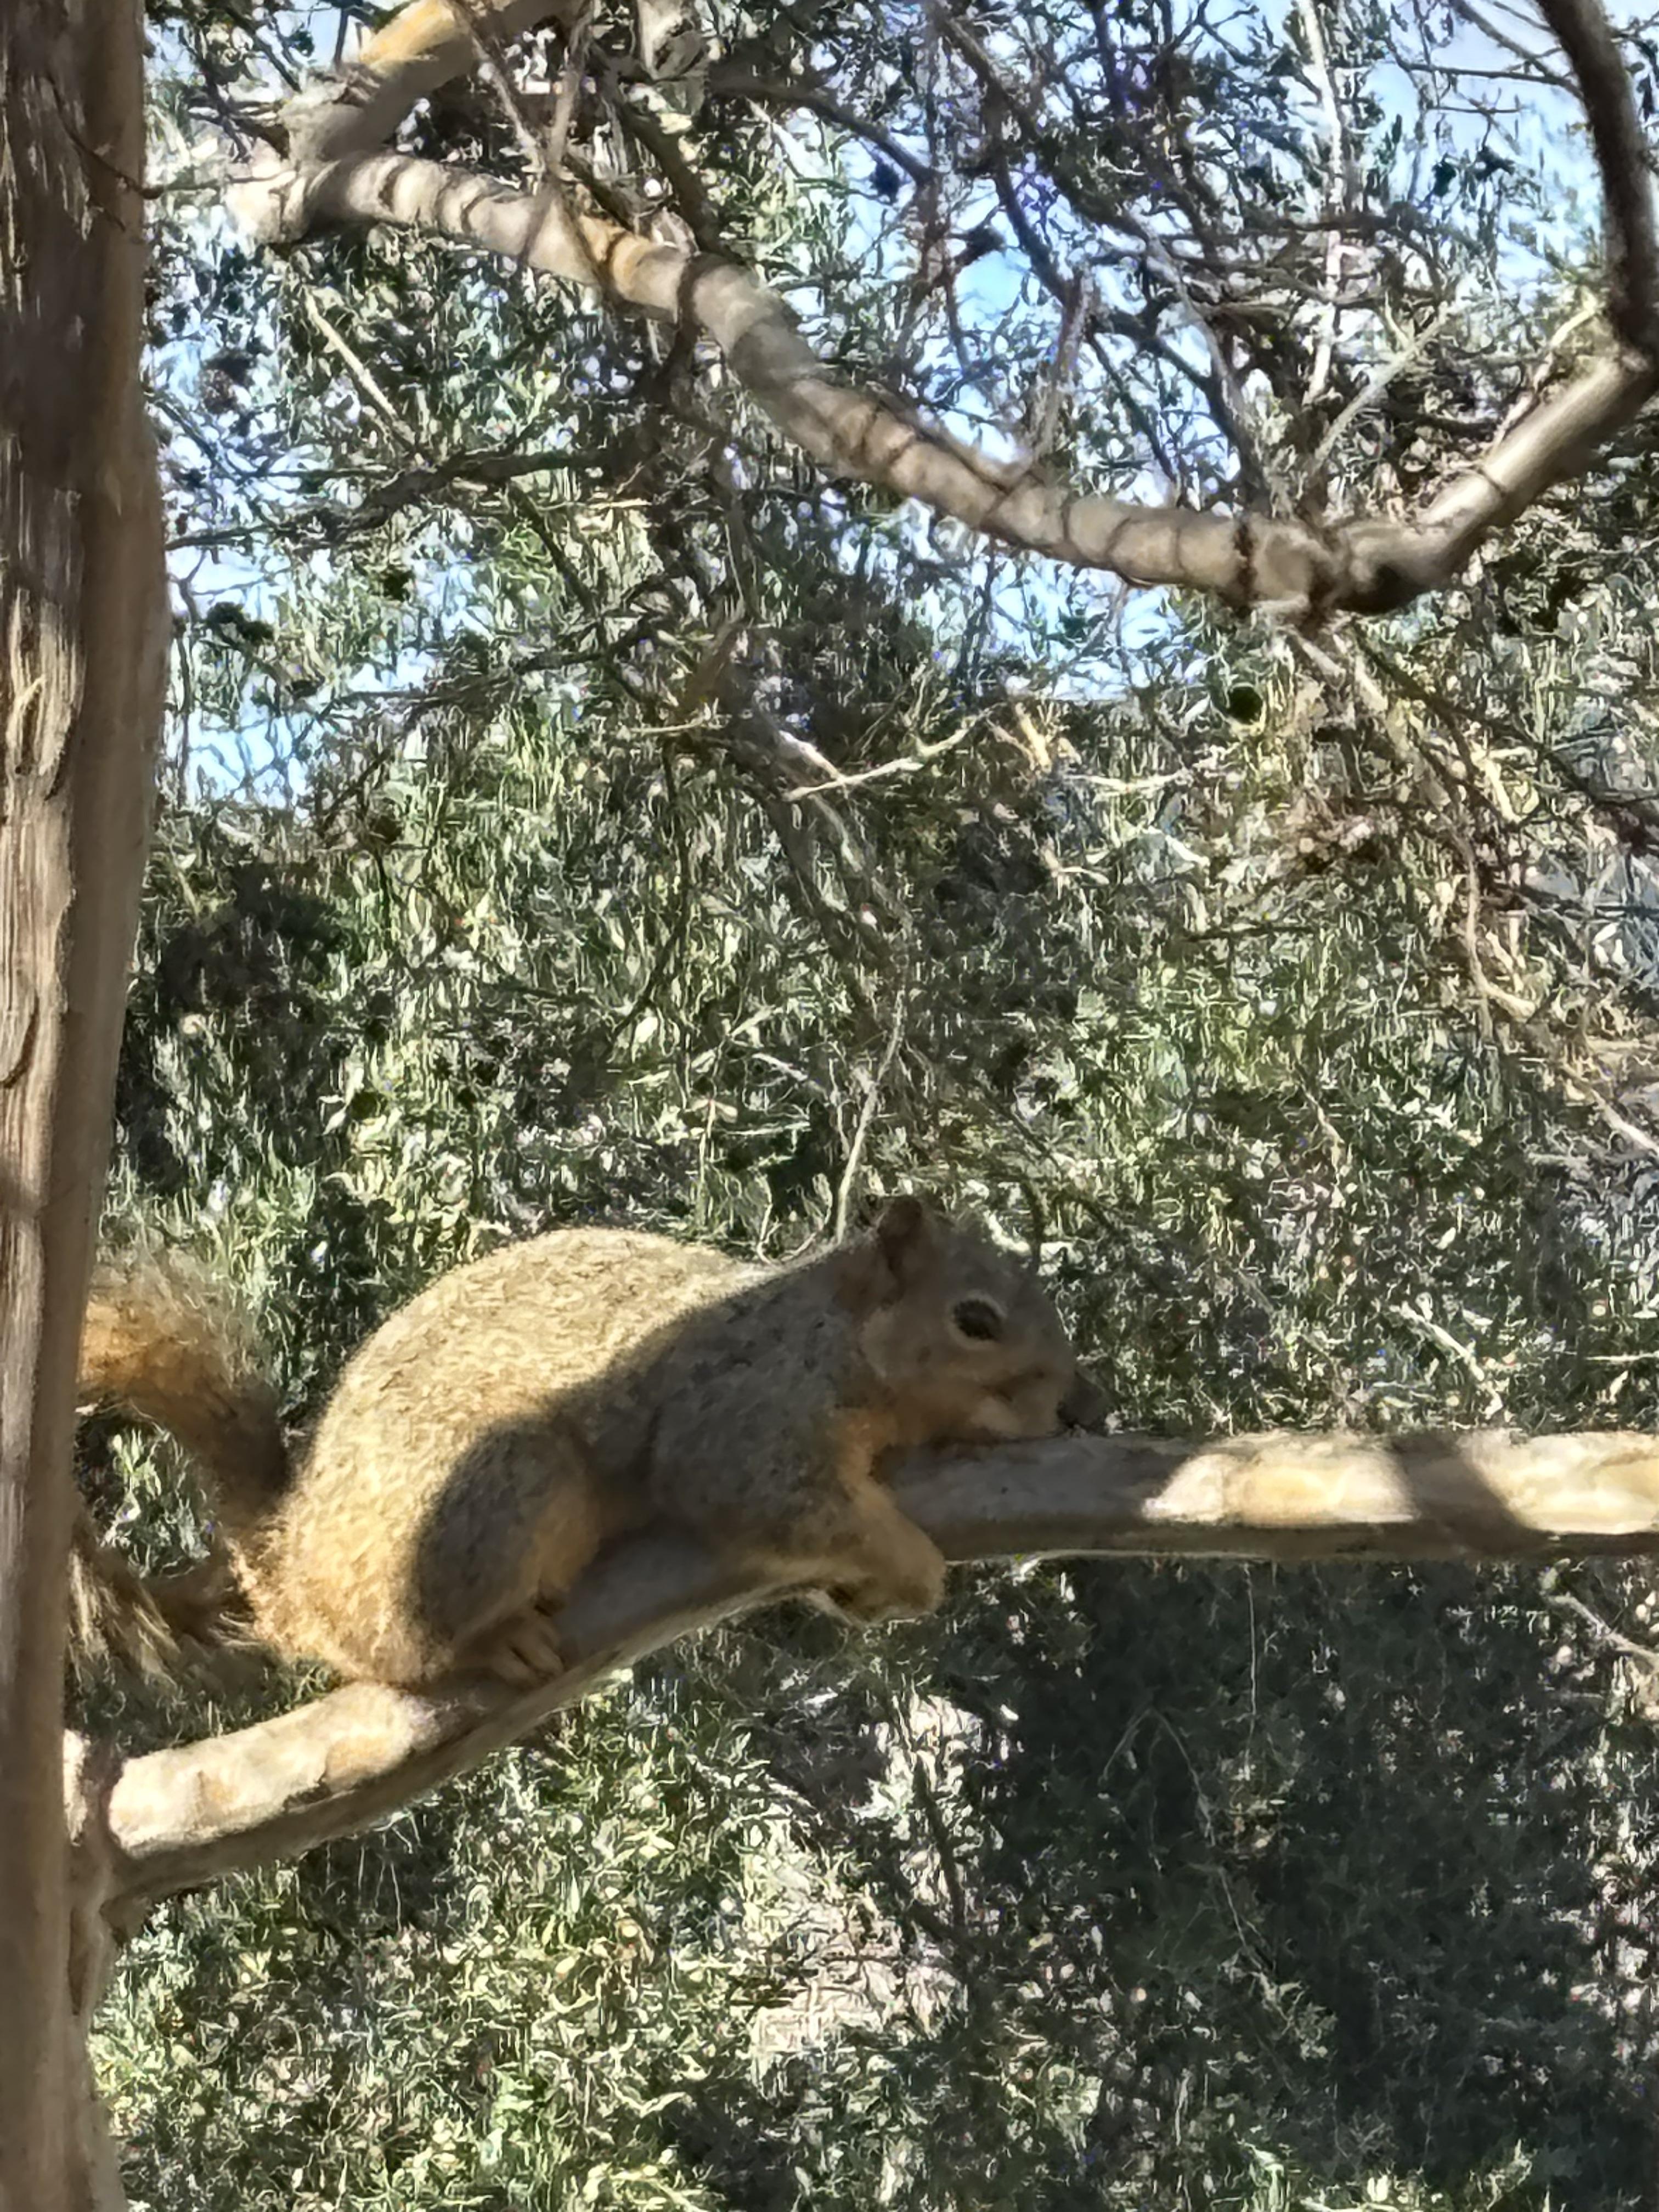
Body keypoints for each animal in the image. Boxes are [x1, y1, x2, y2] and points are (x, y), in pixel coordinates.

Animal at [74, 1197, 1102, 1689]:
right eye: (975, 1320)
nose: (1074, 1408)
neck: (832, 1330)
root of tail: (292, 1570)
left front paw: (872, 1593)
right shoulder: (744, 1416)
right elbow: (775, 1499)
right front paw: (911, 1563)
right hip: (502, 1487)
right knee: (396, 1652)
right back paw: (493, 1644)